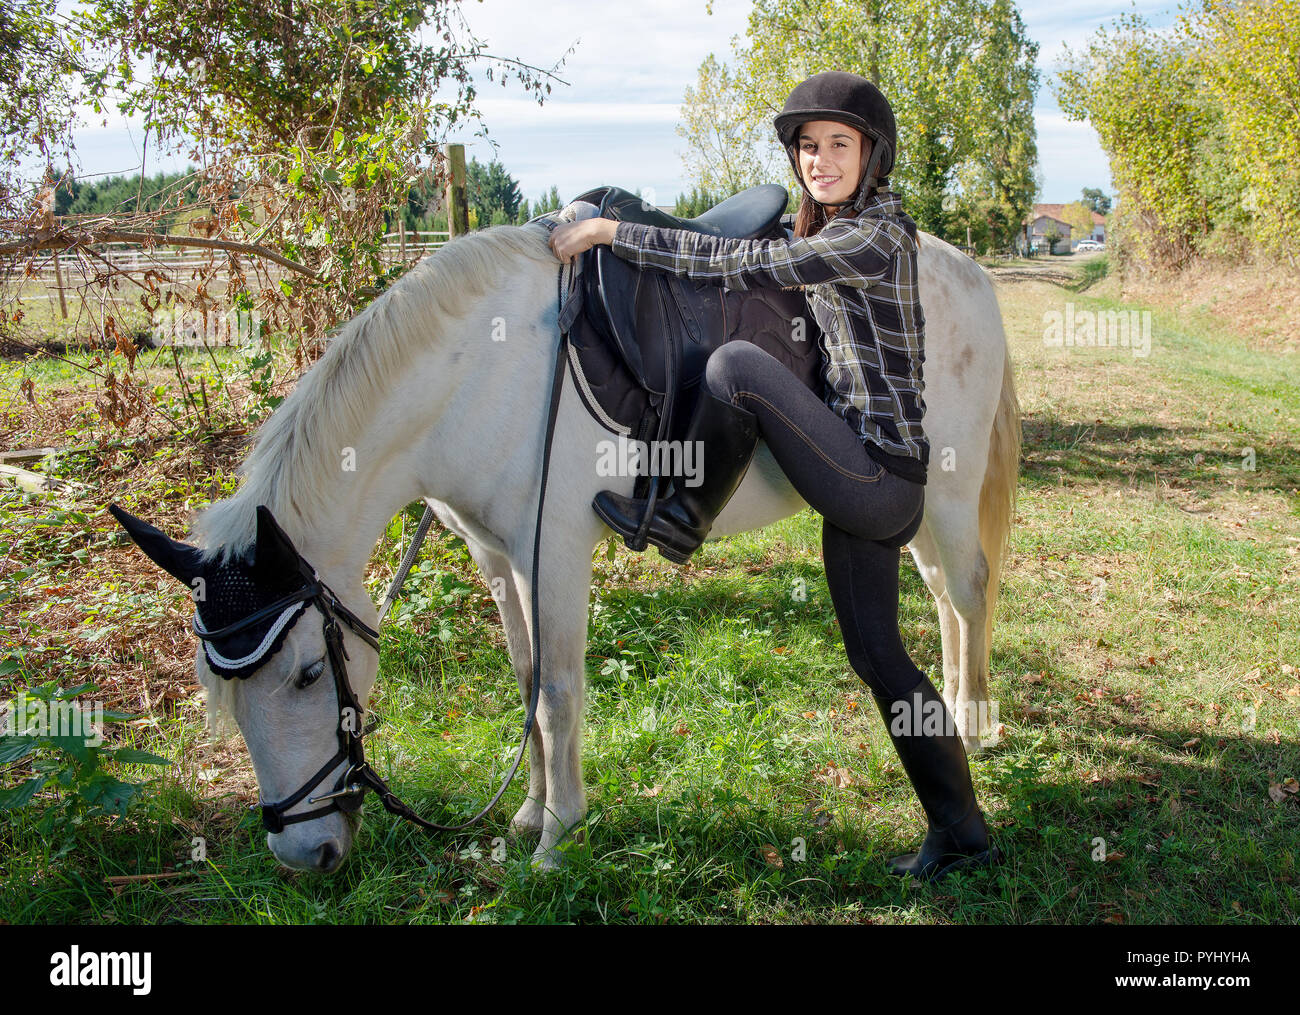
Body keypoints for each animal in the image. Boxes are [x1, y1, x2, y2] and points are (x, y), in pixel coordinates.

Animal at [111, 200, 1020, 872]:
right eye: (219, 690)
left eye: (306, 673)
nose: (306, 856)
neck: (478, 374)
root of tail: (969, 270)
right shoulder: (495, 555)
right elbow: (524, 680)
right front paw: (526, 812)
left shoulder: (551, 552)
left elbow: (555, 691)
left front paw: (558, 837)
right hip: (904, 512)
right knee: (944, 598)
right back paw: (950, 712)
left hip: (942, 491)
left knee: (971, 590)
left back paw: (975, 727)